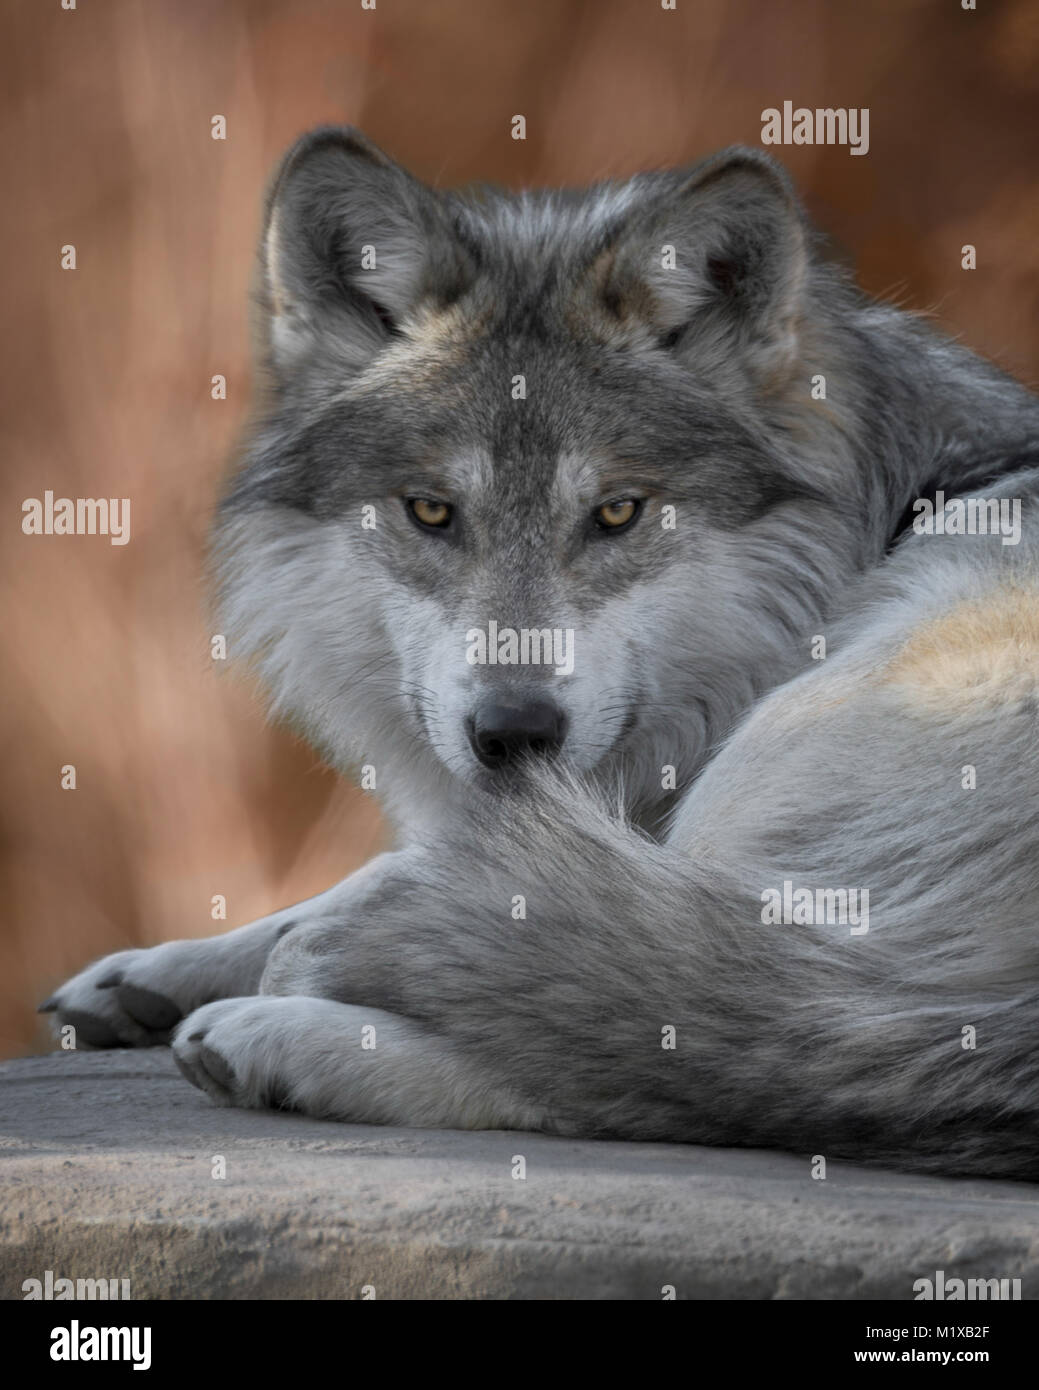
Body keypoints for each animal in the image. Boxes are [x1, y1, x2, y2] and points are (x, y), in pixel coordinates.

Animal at [43, 128, 1039, 1177]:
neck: (889, 507)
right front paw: (148, 973)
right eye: (430, 511)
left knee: (697, 1052)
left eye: (618, 513)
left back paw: (279, 1039)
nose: (513, 731)